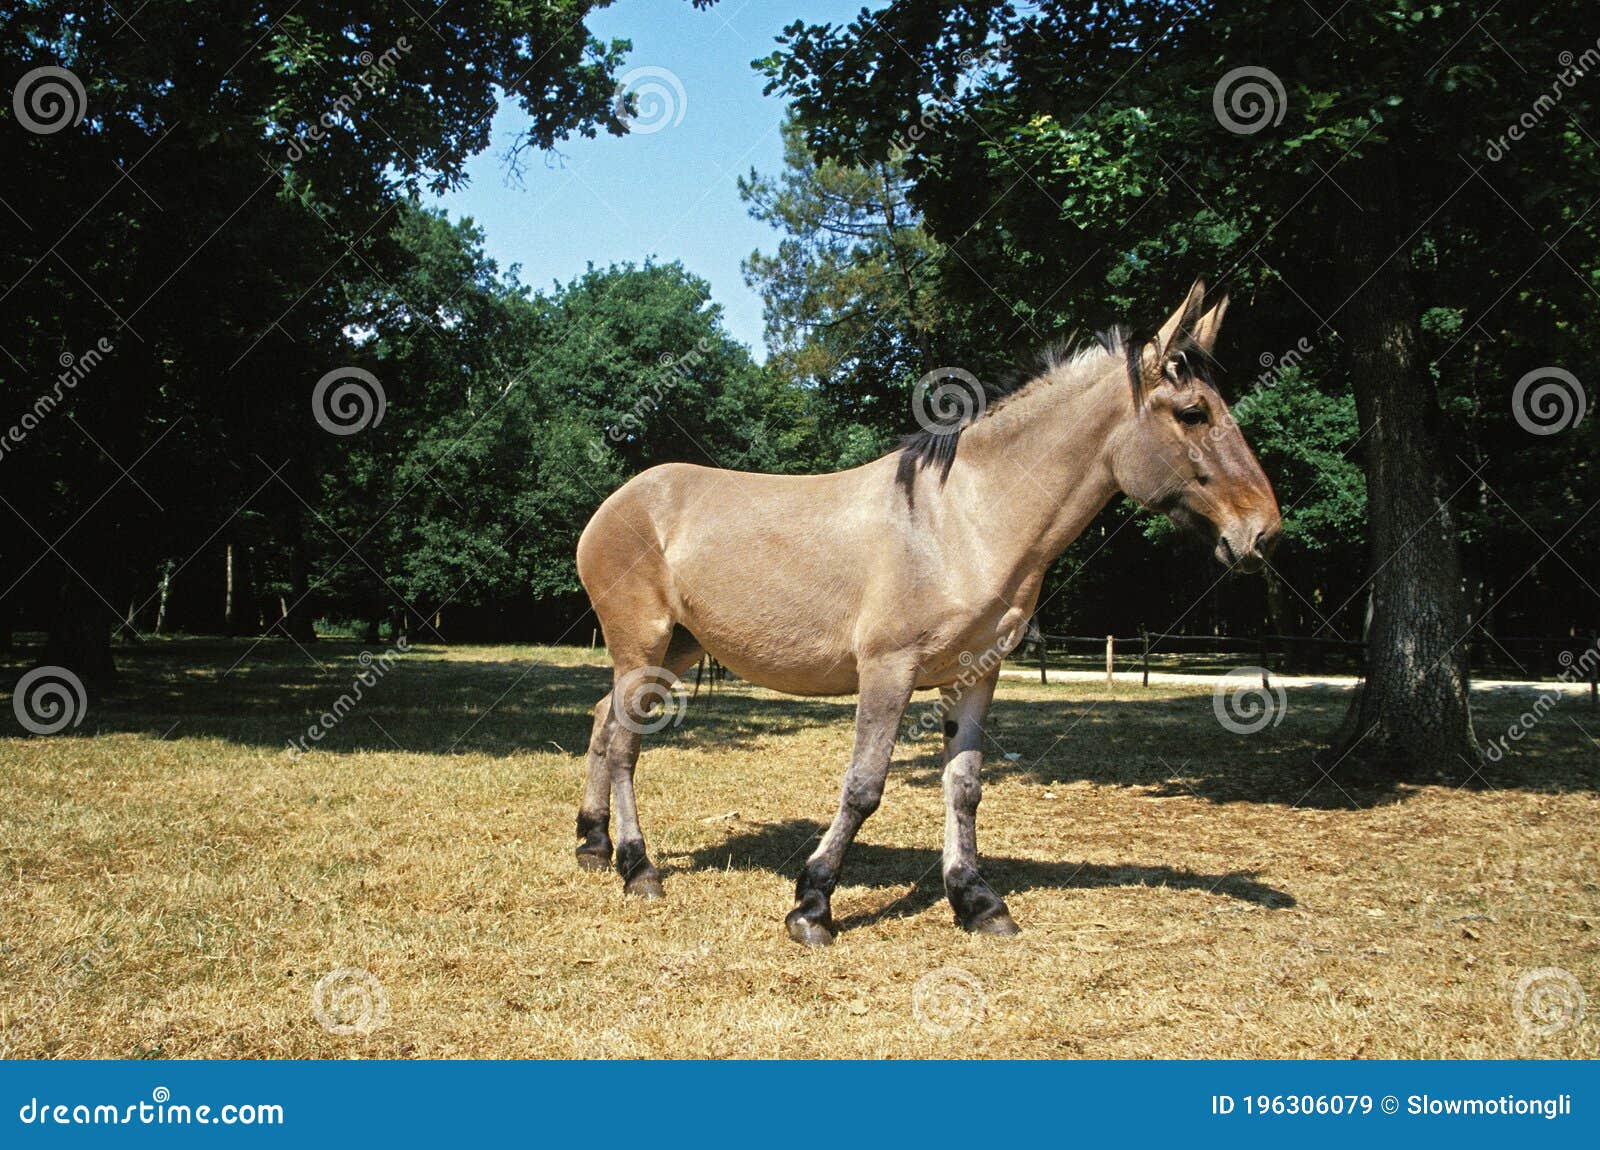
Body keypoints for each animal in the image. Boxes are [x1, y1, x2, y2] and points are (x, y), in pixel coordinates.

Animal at [574, 281, 1282, 945]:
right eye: (1193, 413)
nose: (1264, 533)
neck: (962, 520)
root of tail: (618, 502)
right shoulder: (888, 670)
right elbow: (864, 786)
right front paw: (813, 904)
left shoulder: (975, 674)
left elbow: (963, 786)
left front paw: (977, 901)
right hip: (643, 644)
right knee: (624, 742)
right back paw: (639, 870)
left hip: (677, 648)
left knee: (606, 721)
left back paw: (593, 845)